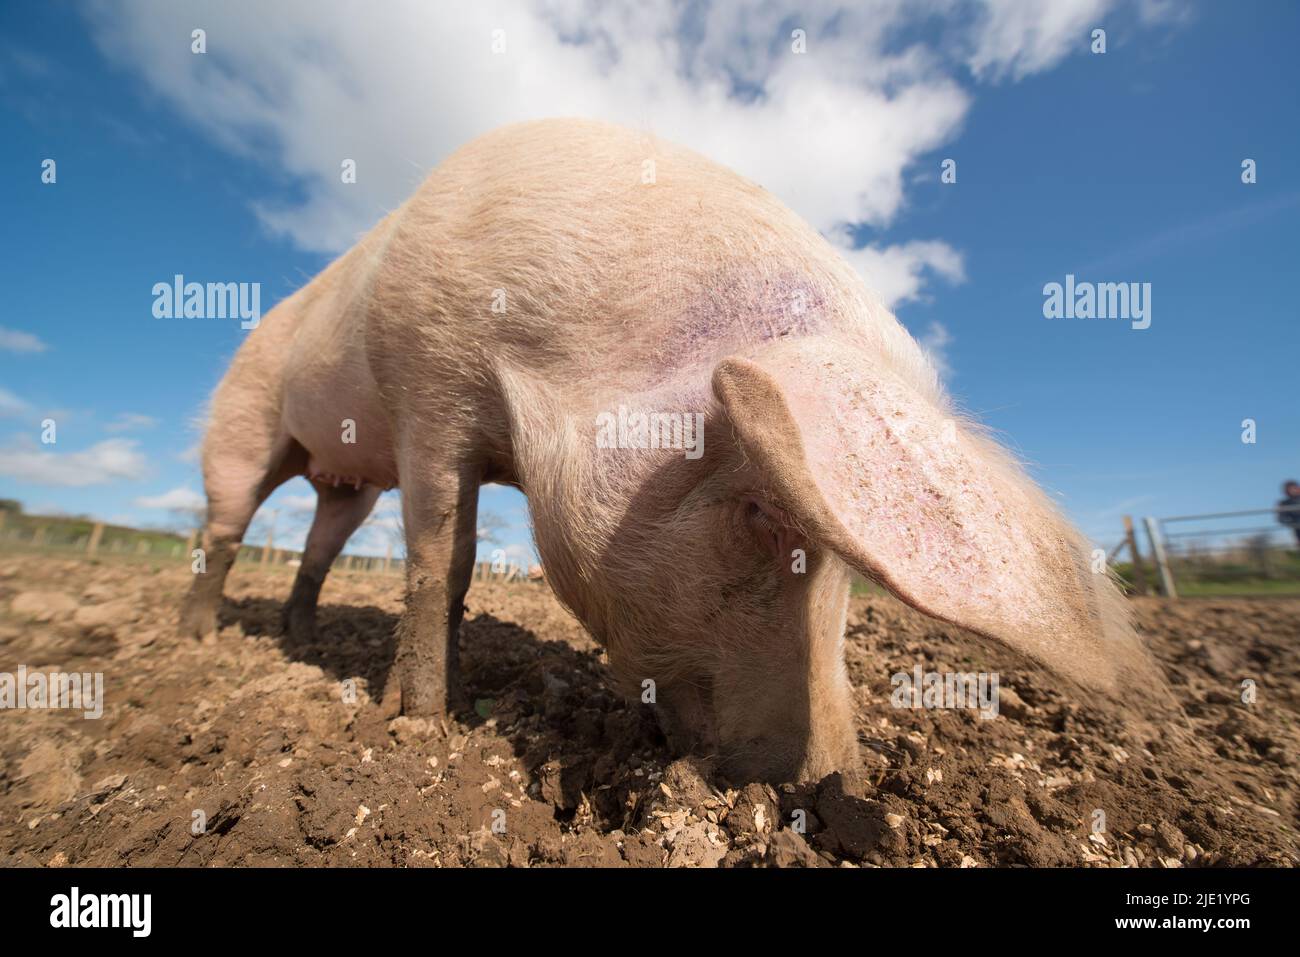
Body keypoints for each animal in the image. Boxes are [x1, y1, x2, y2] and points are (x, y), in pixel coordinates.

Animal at [180, 118, 1158, 783]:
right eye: (762, 512)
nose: (831, 781)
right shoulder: (429, 385)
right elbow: (440, 565)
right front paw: (419, 724)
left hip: (345, 483)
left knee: (319, 540)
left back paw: (300, 633)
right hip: (242, 423)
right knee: (225, 527)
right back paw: (198, 636)